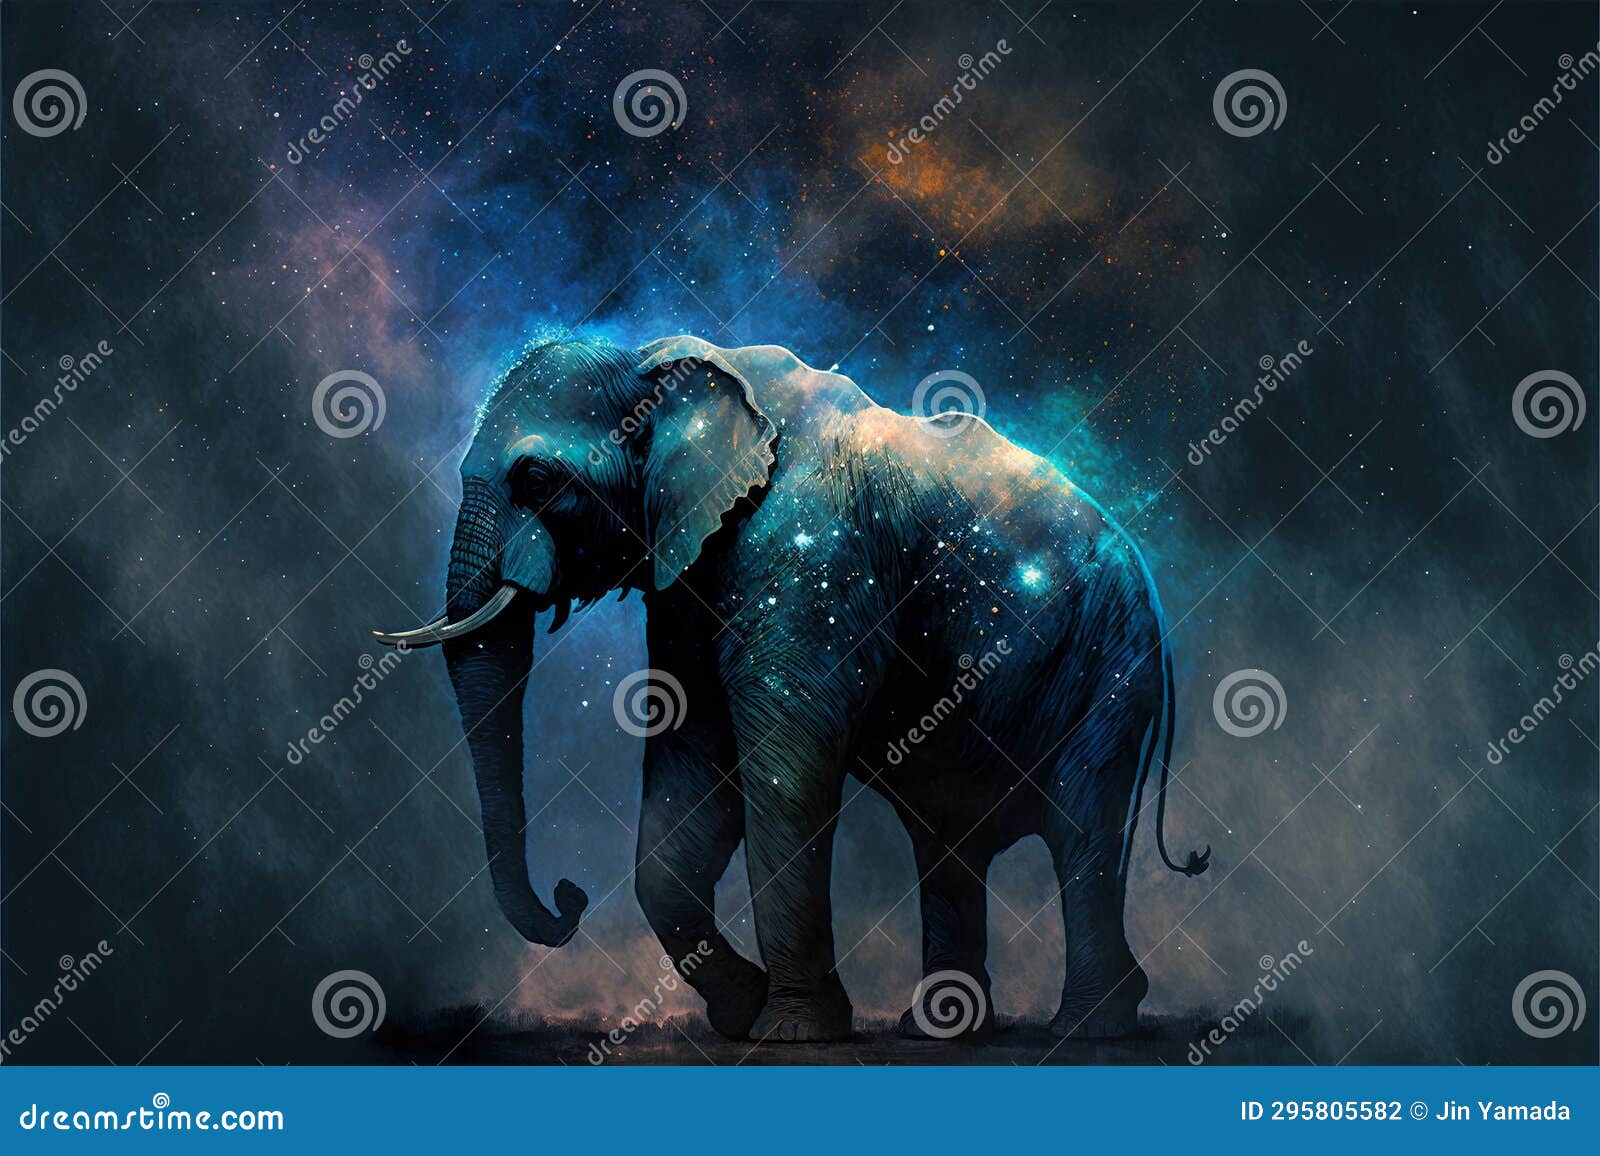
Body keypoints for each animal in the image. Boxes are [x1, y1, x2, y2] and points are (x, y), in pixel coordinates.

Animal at [374, 334, 1208, 1043]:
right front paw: (745, 1014)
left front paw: (793, 1034)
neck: (662, 363)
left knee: (1081, 828)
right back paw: (941, 1030)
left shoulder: (812, 552)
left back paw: (1090, 1029)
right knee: (948, 842)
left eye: (537, 479)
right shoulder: (691, 577)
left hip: (1105, 666)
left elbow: (786, 765)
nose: (570, 896)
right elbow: (693, 758)